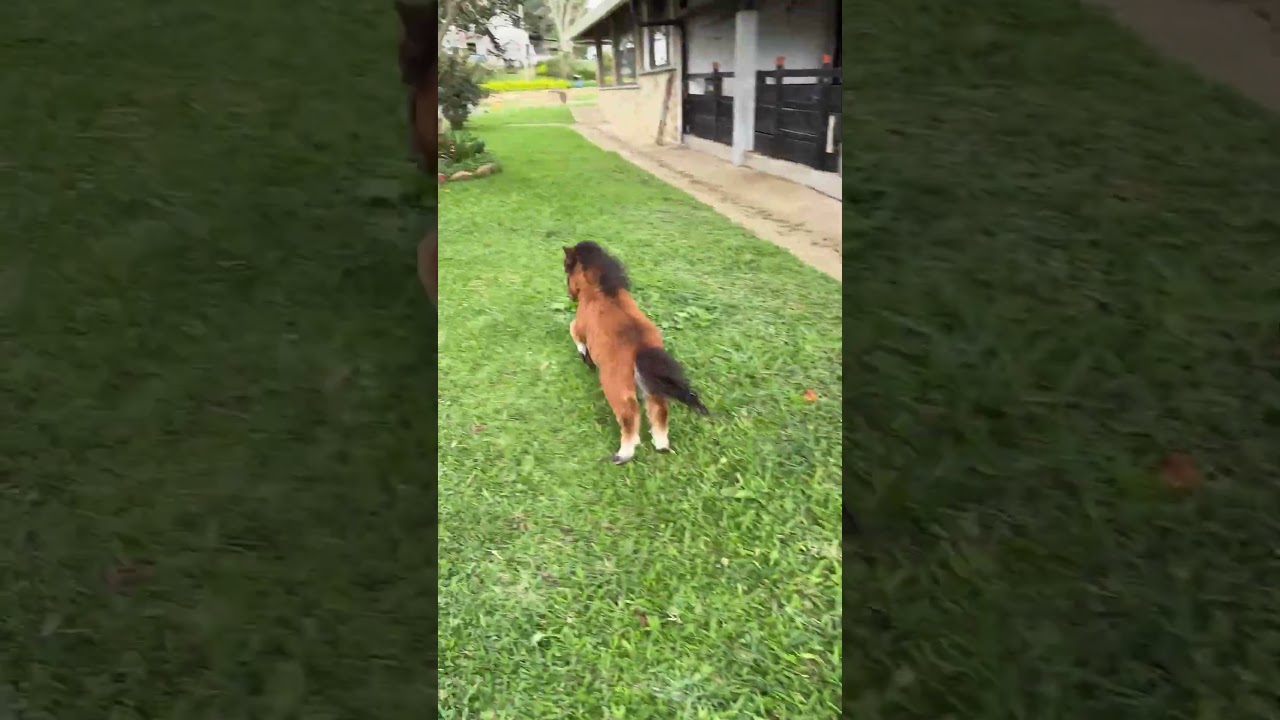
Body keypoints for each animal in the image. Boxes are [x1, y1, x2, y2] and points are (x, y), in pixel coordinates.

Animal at [562, 242, 709, 464]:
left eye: (567, 269)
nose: (569, 295)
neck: (604, 289)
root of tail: (641, 349)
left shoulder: (580, 326)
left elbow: (573, 330)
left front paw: (585, 357)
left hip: (616, 387)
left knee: (630, 418)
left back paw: (622, 455)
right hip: (653, 390)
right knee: (659, 412)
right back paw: (662, 446)